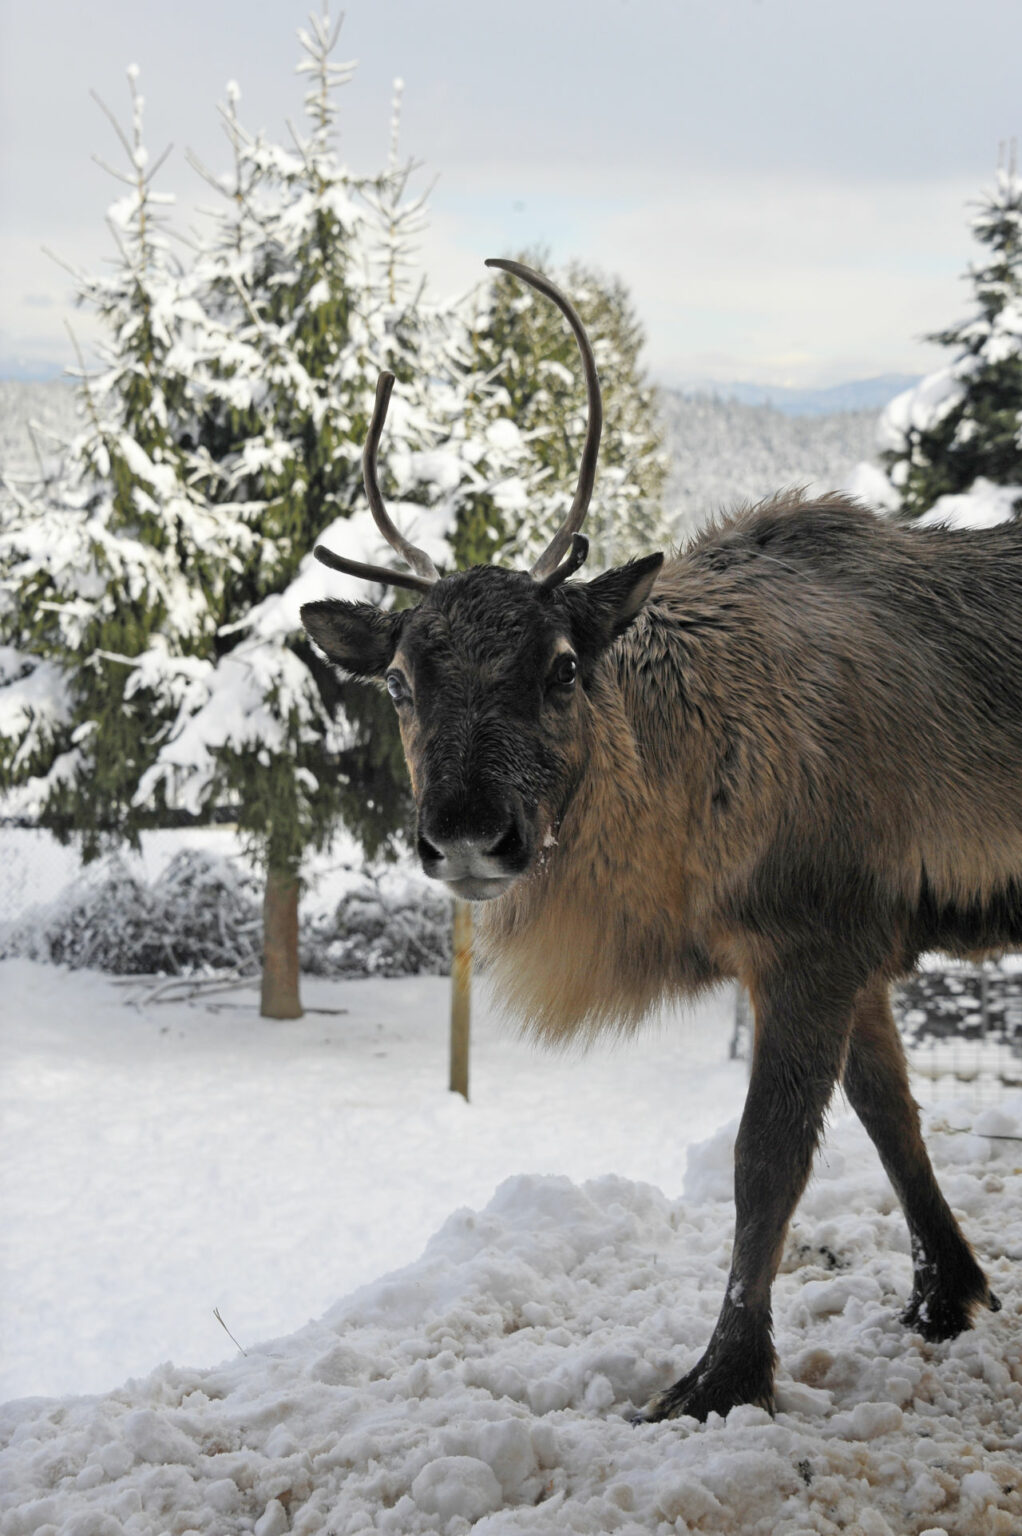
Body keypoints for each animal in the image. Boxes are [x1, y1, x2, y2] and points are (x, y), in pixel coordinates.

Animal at [300, 258, 1012, 1423]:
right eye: (398, 681)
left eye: (560, 666)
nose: (468, 833)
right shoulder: (858, 951)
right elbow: (890, 1116)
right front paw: (942, 1293)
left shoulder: (809, 947)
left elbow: (767, 1160)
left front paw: (724, 1375)